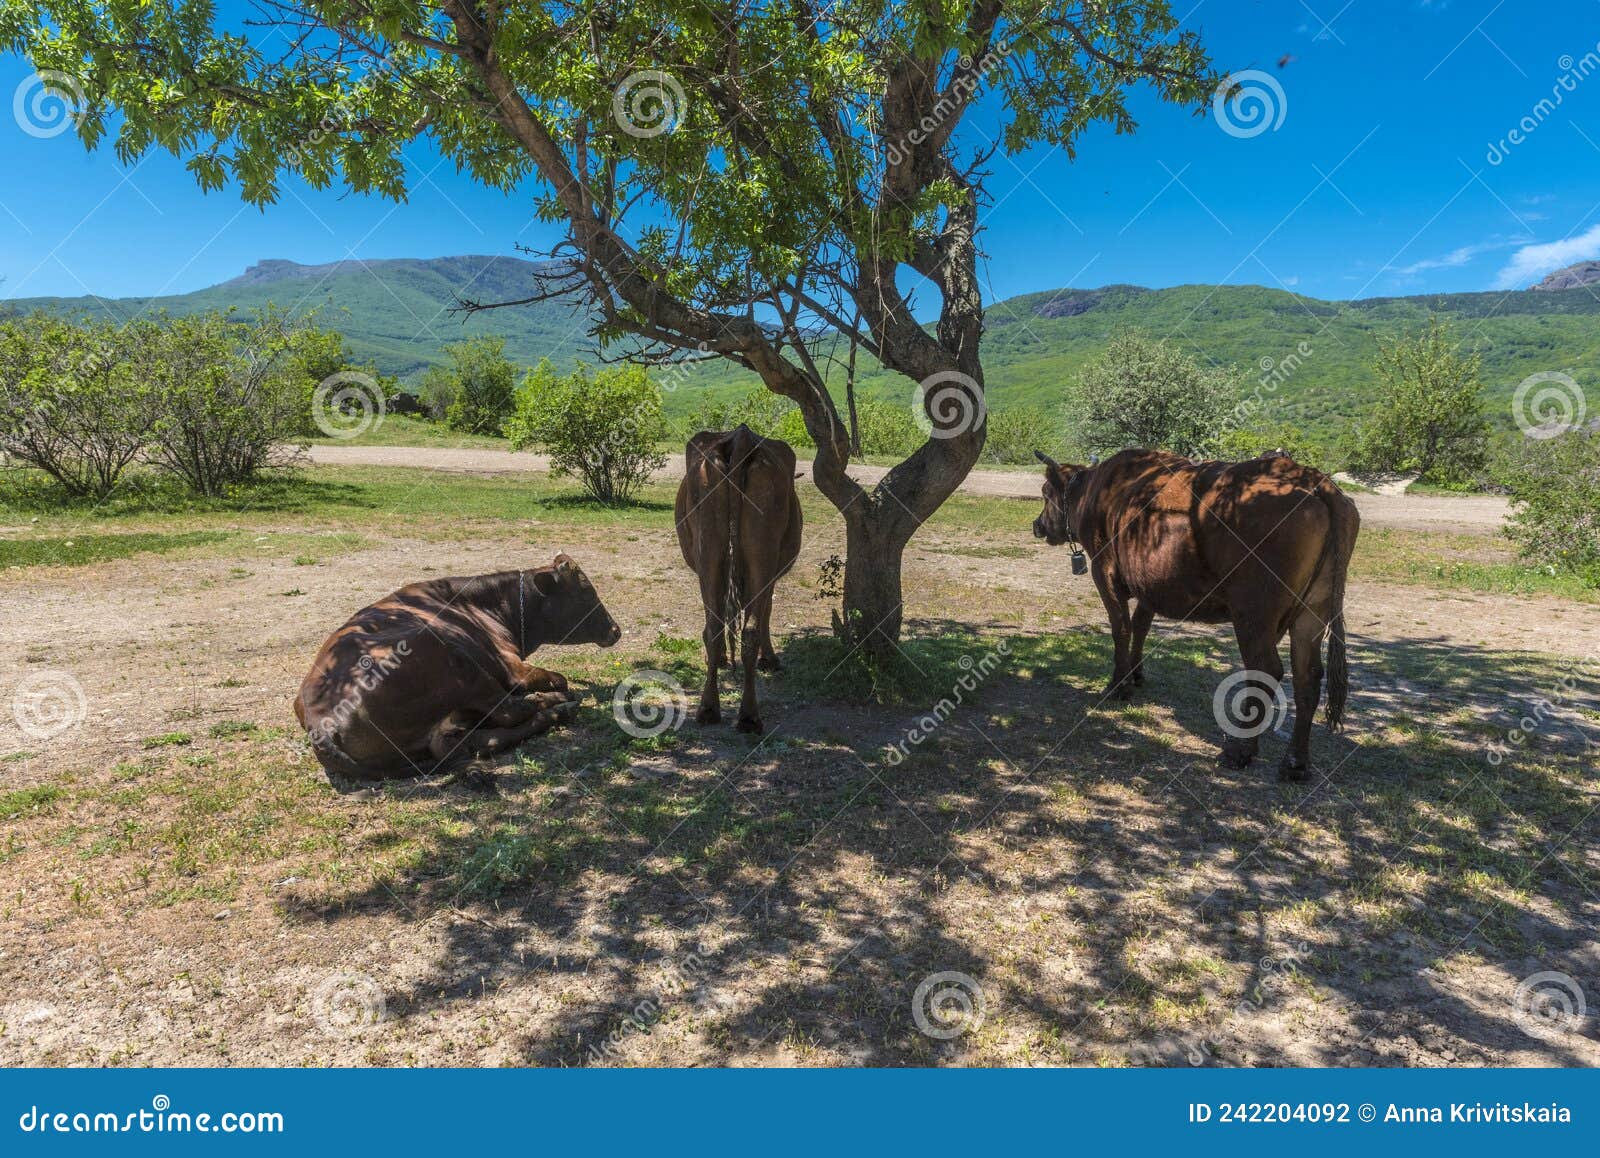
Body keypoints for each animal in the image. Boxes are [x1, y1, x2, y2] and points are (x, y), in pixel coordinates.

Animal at [294, 554, 622, 787]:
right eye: (586, 592)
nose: (615, 630)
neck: (482, 603)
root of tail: (319, 722)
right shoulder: (512, 667)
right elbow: (559, 680)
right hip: (461, 663)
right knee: (510, 711)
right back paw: (560, 705)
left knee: (481, 739)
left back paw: (558, 712)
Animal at [674, 424, 803, 734]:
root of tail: (741, 437)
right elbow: (766, 611)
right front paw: (770, 659)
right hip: (762, 555)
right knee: (750, 628)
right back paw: (749, 715)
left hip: (710, 549)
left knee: (716, 628)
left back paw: (710, 709)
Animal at [1032, 448, 1360, 780]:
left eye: (1045, 493)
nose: (1037, 525)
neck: (1095, 490)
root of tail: (1312, 479)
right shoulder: (1149, 582)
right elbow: (1140, 626)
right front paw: (1136, 674)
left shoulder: (1105, 571)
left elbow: (1121, 628)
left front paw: (1118, 685)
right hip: (1312, 611)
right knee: (1308, 676)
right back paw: (1295, 764)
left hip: (1253, 612)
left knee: (1266, 670)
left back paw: (1239, 750)